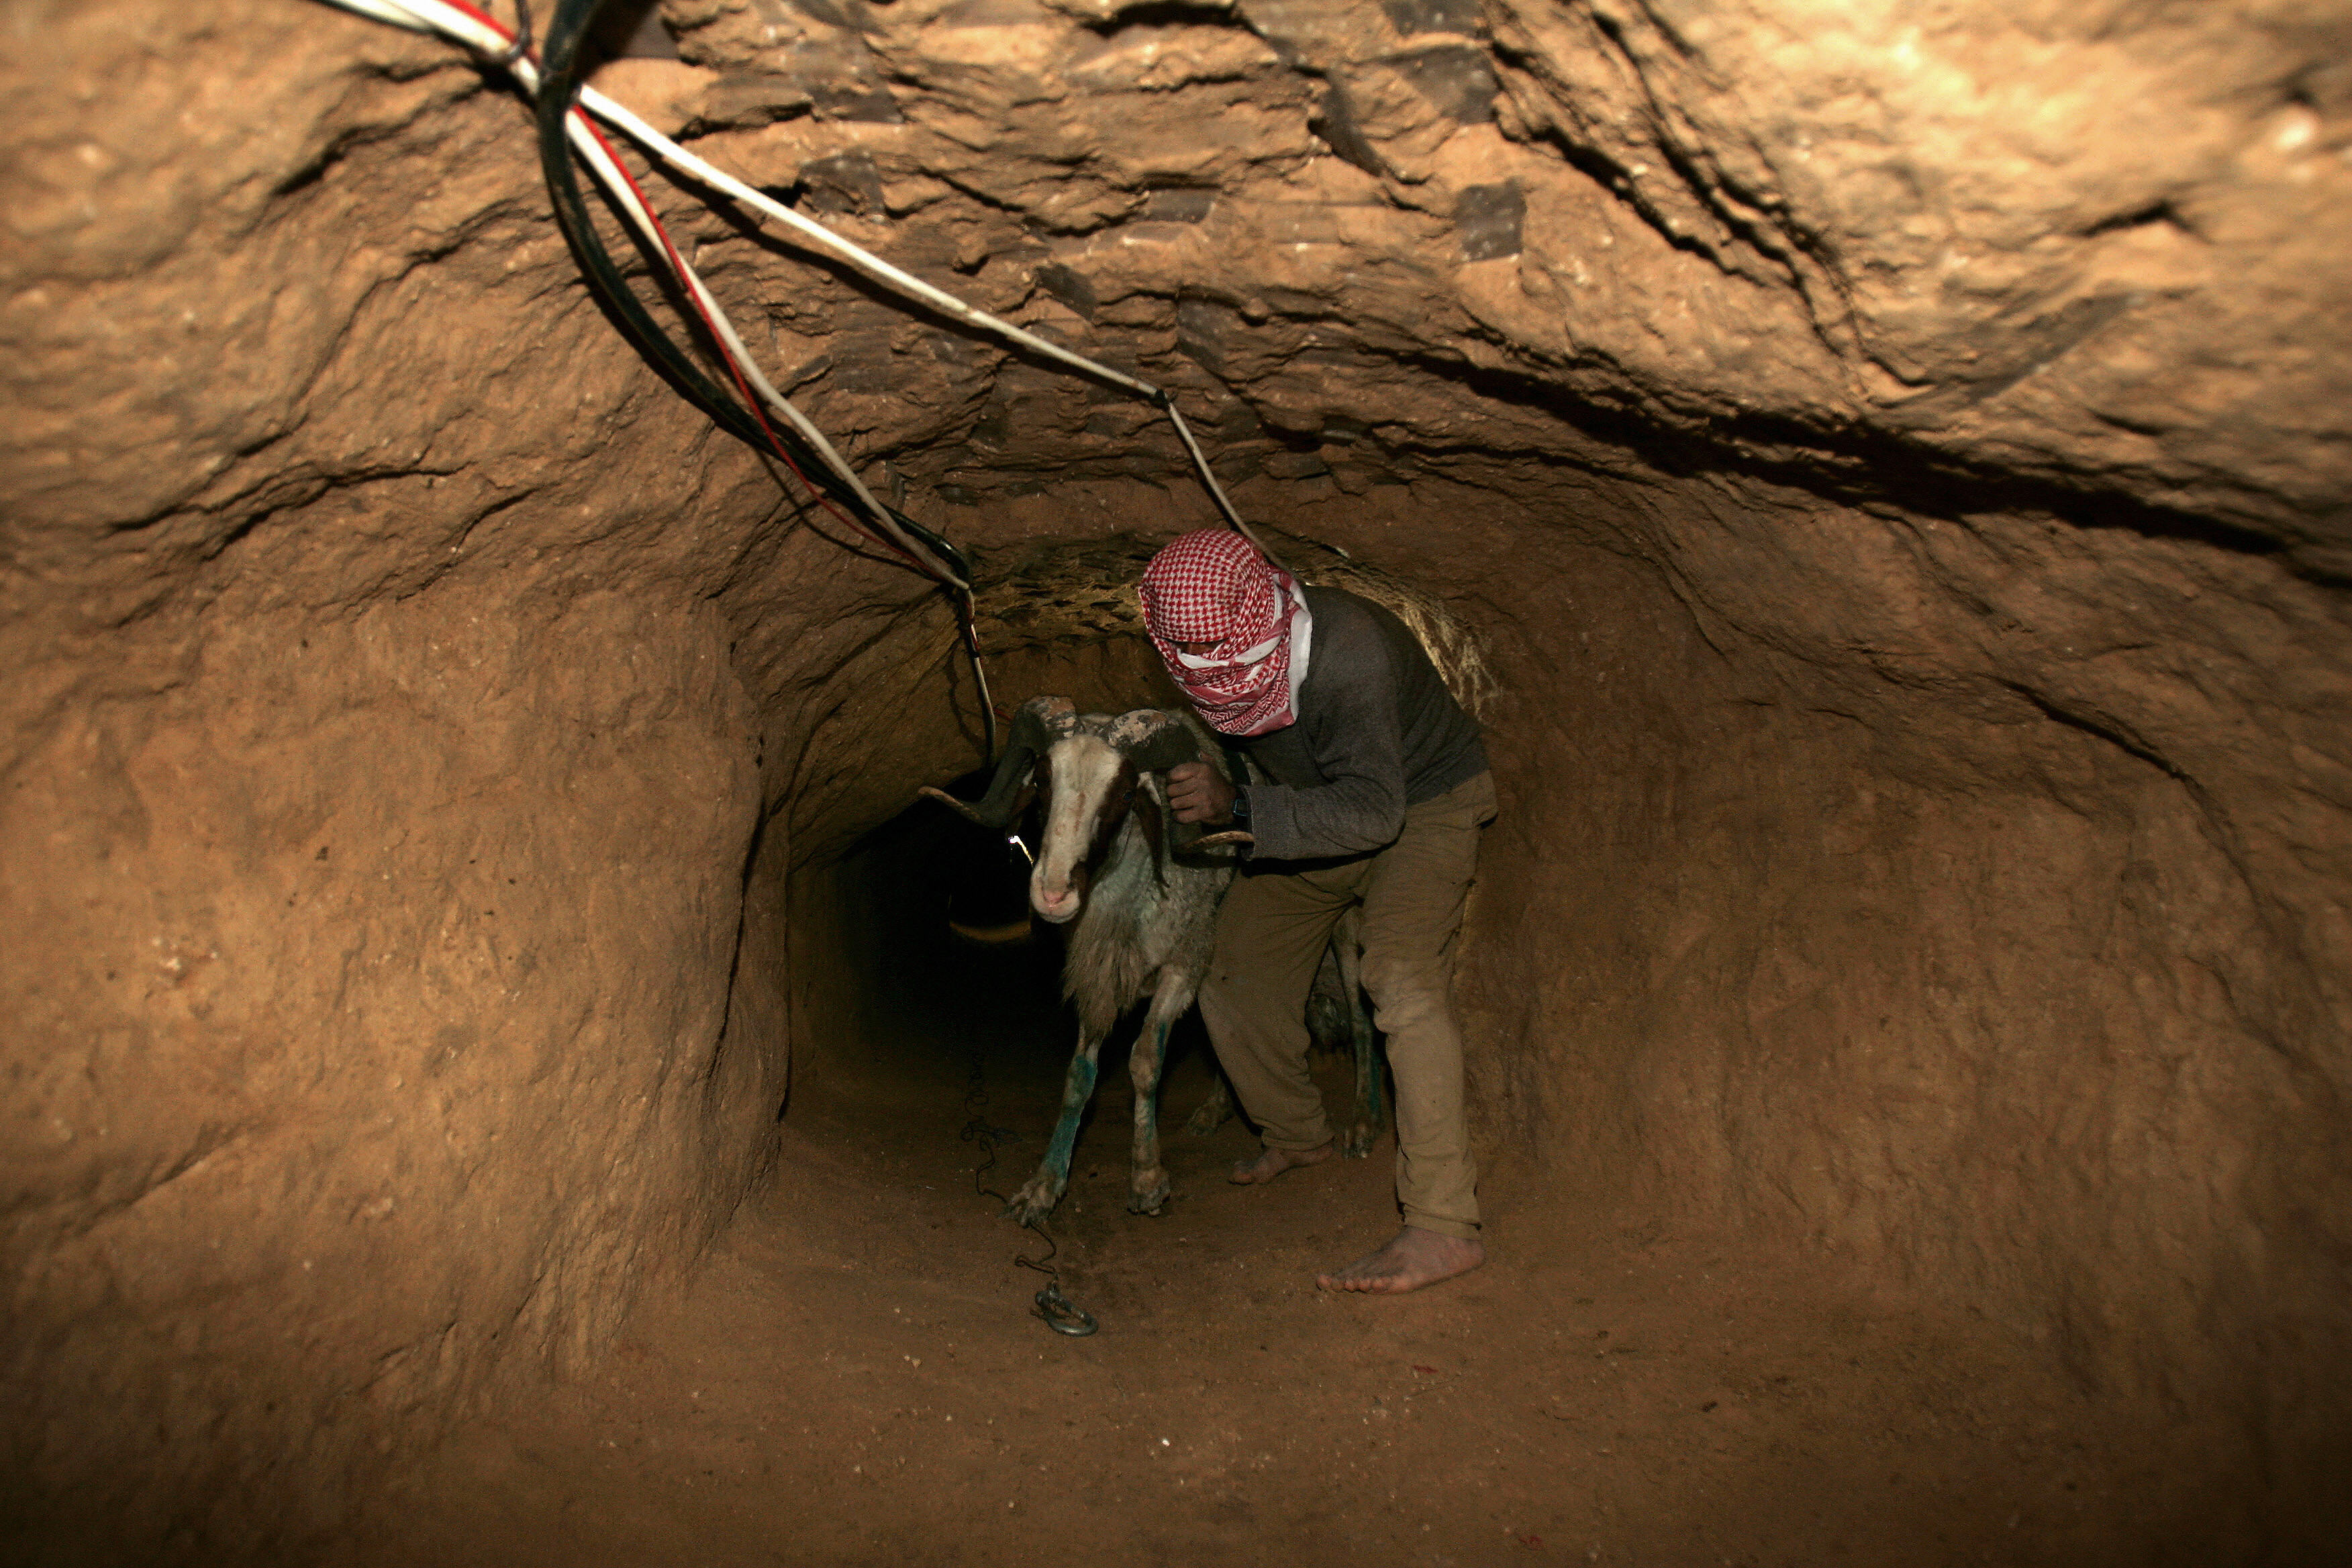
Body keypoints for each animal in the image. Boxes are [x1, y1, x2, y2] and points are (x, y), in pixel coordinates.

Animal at [926, 695, 1383, 1222]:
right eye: (1041, 781)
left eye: (1126, 793)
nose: (1054, 895)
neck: (1130, 899)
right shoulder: (1099, 975)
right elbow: (1078, 1076)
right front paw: (1043, 1186)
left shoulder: (1181, 967)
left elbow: (1145, 1061)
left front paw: (1146, 1178)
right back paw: (1214, 1111)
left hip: (1341, 925)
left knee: (1360, 1018)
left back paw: (1364, 1123)